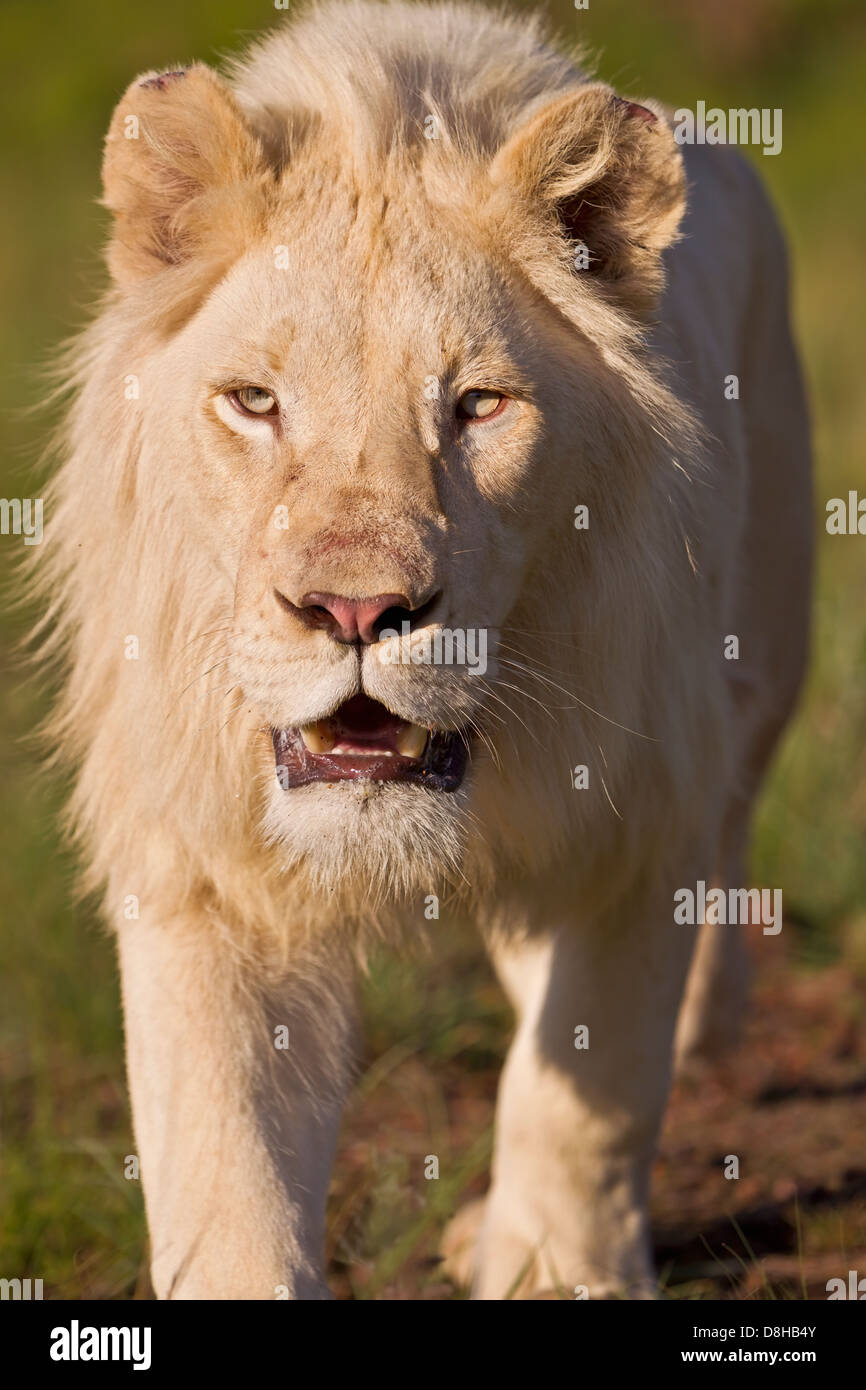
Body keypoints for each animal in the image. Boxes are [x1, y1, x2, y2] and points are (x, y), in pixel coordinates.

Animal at [37, 0, 811, 1299]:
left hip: (764, 648)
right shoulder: (210, 868)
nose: (354, 612)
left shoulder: (638, 805)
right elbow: (222, 1158)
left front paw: (555, 1267)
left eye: (478, 406)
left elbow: (587, 1092)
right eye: (255, 402)